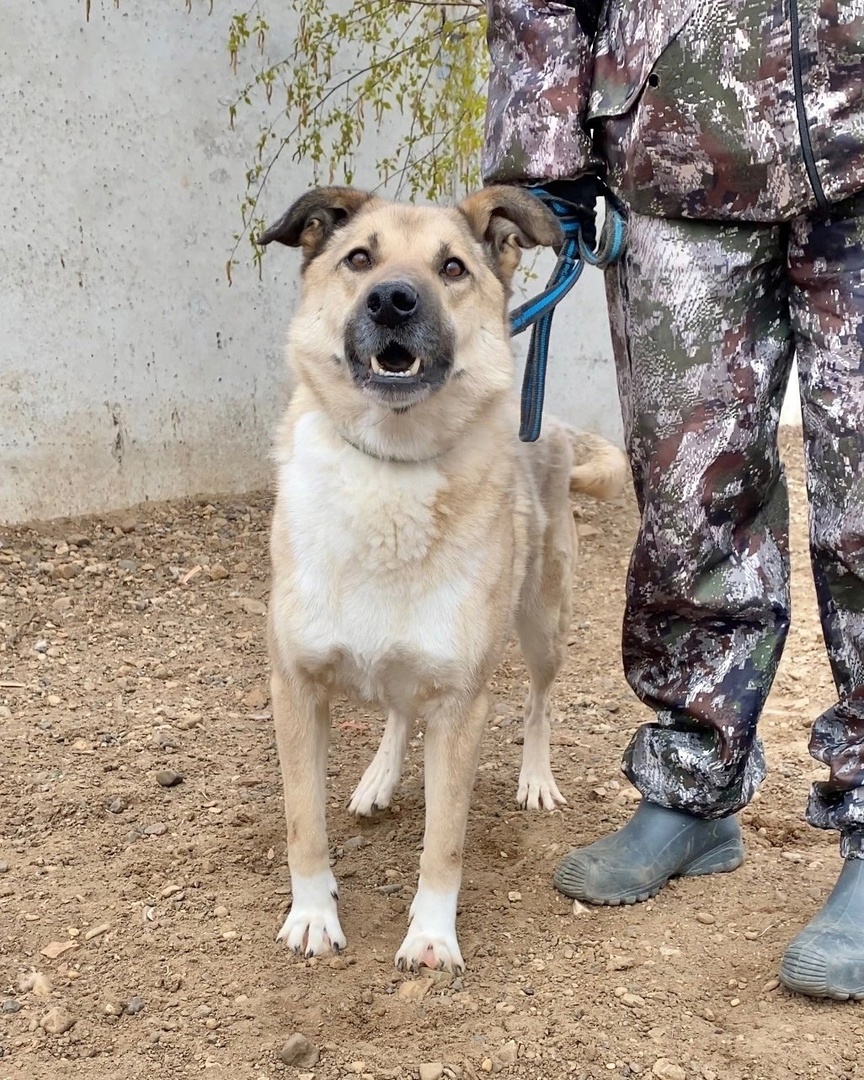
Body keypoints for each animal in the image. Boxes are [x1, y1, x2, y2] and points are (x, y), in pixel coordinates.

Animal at [258, 181, 626, 976]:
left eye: (452, 267)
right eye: (358, 259)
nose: (392, 300)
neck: (391, 469)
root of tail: (552, 421)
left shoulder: (462, 702)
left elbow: (444, 844)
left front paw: (431, 935)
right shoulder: (295, 686)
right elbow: (304, 823)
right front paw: (312, 915)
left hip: (542, 623)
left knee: (539, 702)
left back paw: (536, 778)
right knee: (399, 708)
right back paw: (379, 777)